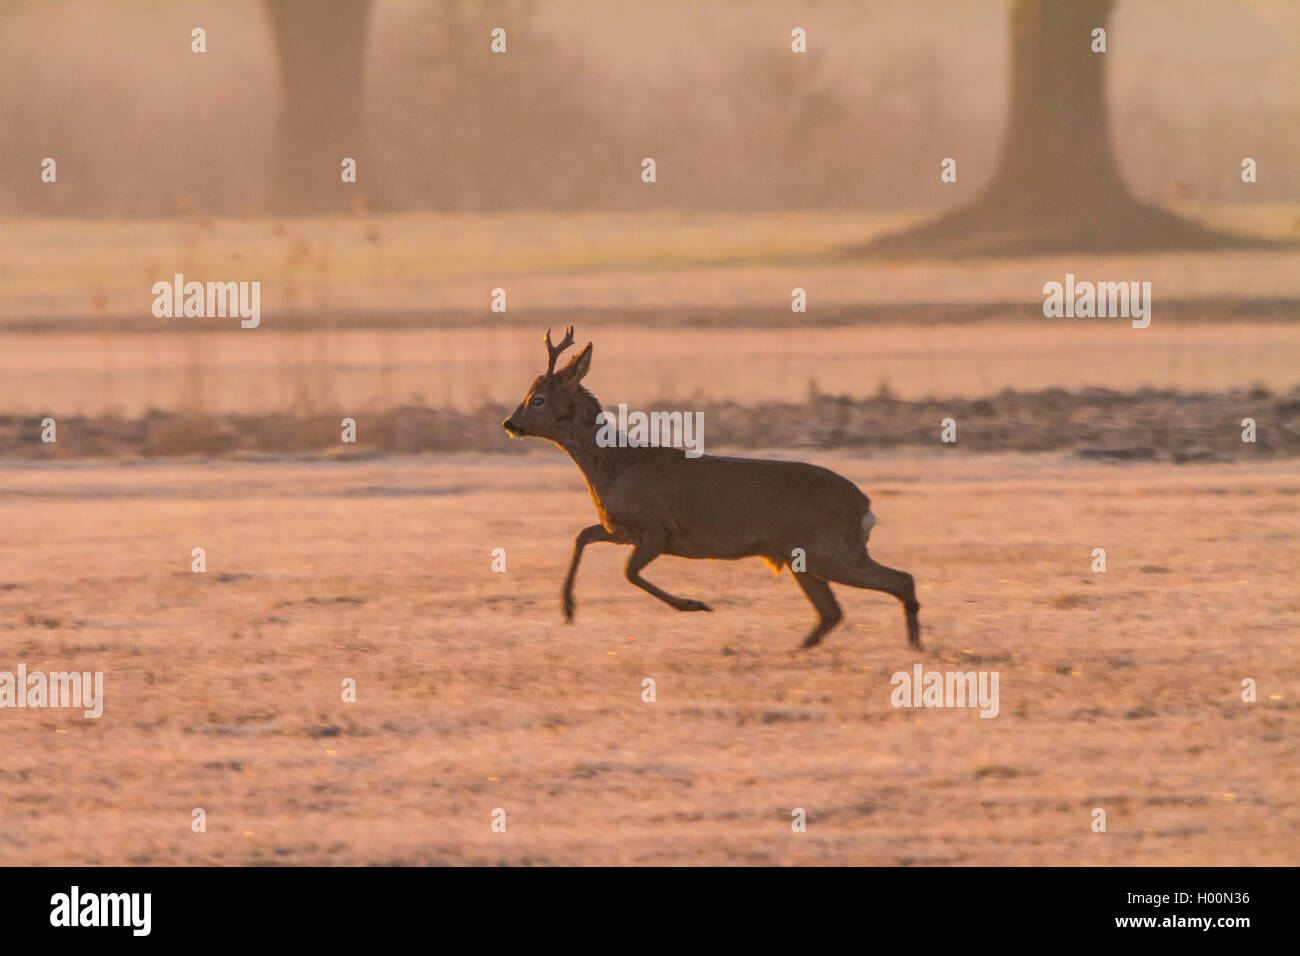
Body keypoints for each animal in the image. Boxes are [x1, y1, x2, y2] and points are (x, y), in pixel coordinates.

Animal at [501, 328, 921, 650]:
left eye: (537, 400)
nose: (509, 423)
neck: (615, 466)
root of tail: (865, 507)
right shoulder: (619, 528)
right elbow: (582, 536)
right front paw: (567, 608)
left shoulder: (658, 528)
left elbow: (629, 573)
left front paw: (694, 604)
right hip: (802, 555)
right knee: (832, 612)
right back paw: (798, 650)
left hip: (827, 548)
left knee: (901, 580)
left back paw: (914, 645)